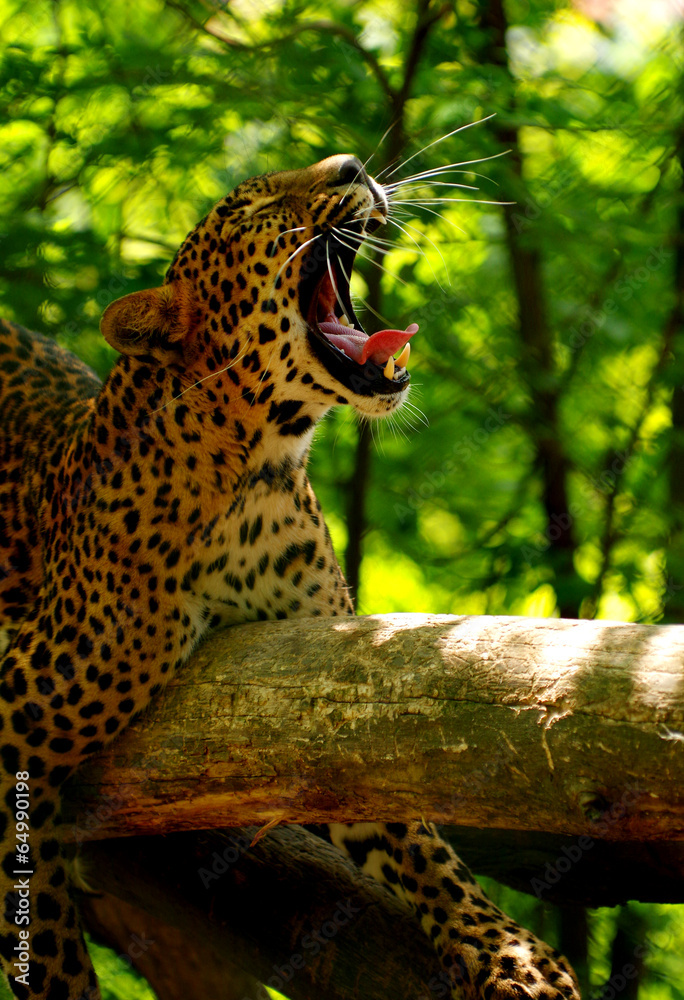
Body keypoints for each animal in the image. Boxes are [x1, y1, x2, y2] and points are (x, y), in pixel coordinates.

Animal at [0, 153, 581, 1000]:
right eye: (254, 208)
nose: (353, 165)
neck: (259, 471)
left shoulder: (309, 708)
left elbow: (422, 841)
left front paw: (510, 952)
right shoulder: (16, 719)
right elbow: (41, 932)